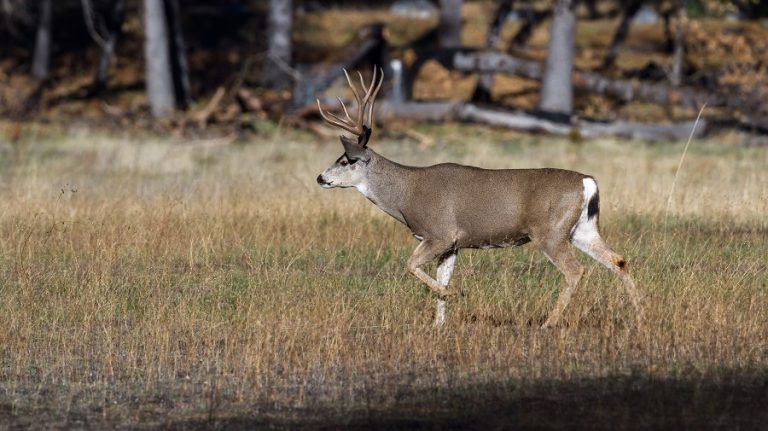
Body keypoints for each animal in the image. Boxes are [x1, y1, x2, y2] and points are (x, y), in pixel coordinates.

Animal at [315, 67, 643, 328]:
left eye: (345, 160)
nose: (320, 177)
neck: (405, 195)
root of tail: (587, 182)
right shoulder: (453, 244)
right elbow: (441, 276)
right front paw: (438, 324)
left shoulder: (439, 233)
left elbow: (410, 266)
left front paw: (454, 294)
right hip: (581, 229)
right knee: (618, 260)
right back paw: (639, 314)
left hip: (550, 231)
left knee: (576, 271)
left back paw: (548, 323)